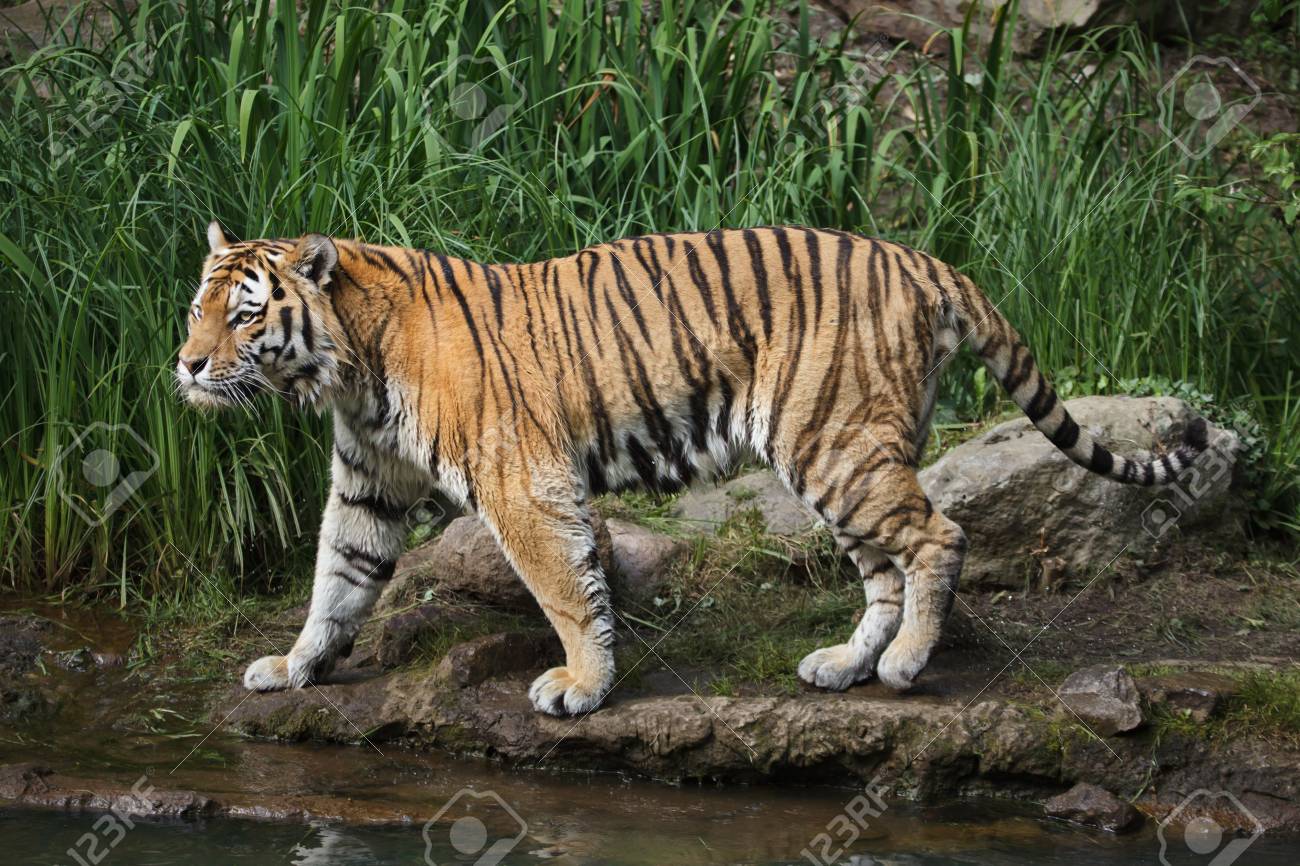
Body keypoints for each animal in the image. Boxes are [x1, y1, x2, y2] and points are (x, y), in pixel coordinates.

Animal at [177, 221, 1209, 716]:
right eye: (197, 308)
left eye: (244, 314)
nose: (184, 365)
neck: (346, 367)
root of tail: (922, 260)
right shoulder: (368, 486)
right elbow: (337, 581)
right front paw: (296, 666)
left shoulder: (523, 484)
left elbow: (564, 588)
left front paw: (582, 687)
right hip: (841, 456)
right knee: (884, 566)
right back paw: (847, 666)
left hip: (833, 444)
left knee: (938, 536)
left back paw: (909, 665)